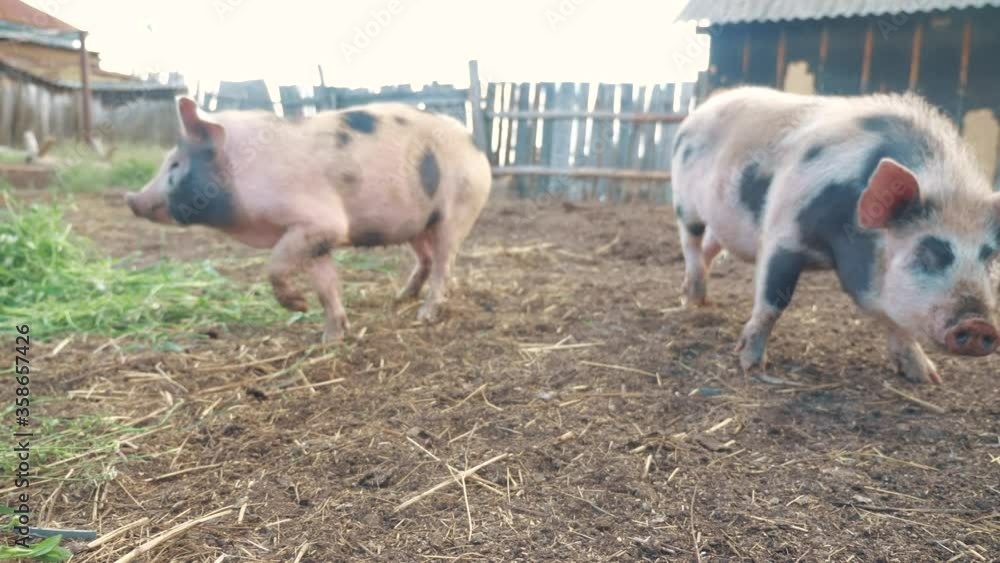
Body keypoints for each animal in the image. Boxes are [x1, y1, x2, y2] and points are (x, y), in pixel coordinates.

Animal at [127, 98, 491, 341]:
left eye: (175, 165)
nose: (131, 199)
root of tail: (474, 145)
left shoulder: (321, 223)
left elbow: (275, 265)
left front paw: (298, 307)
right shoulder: (317, 241)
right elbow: (326, 285)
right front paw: (331, 338)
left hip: (457, 211)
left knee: (444, 264)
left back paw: (424, 315)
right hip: (418, 224)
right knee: (425, 259)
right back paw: (400, 298)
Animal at [671, 87, 1000, 384]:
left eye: (990, 260)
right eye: (927, 253)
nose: (978, 323)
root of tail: (699, 111)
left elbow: (897, 321)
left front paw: (927, 378)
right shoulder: (783, 234)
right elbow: (773, 301)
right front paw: (751, 365)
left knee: (710, 248)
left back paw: (696, 297)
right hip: (685, 202)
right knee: (690, 243)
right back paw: (694, 299)